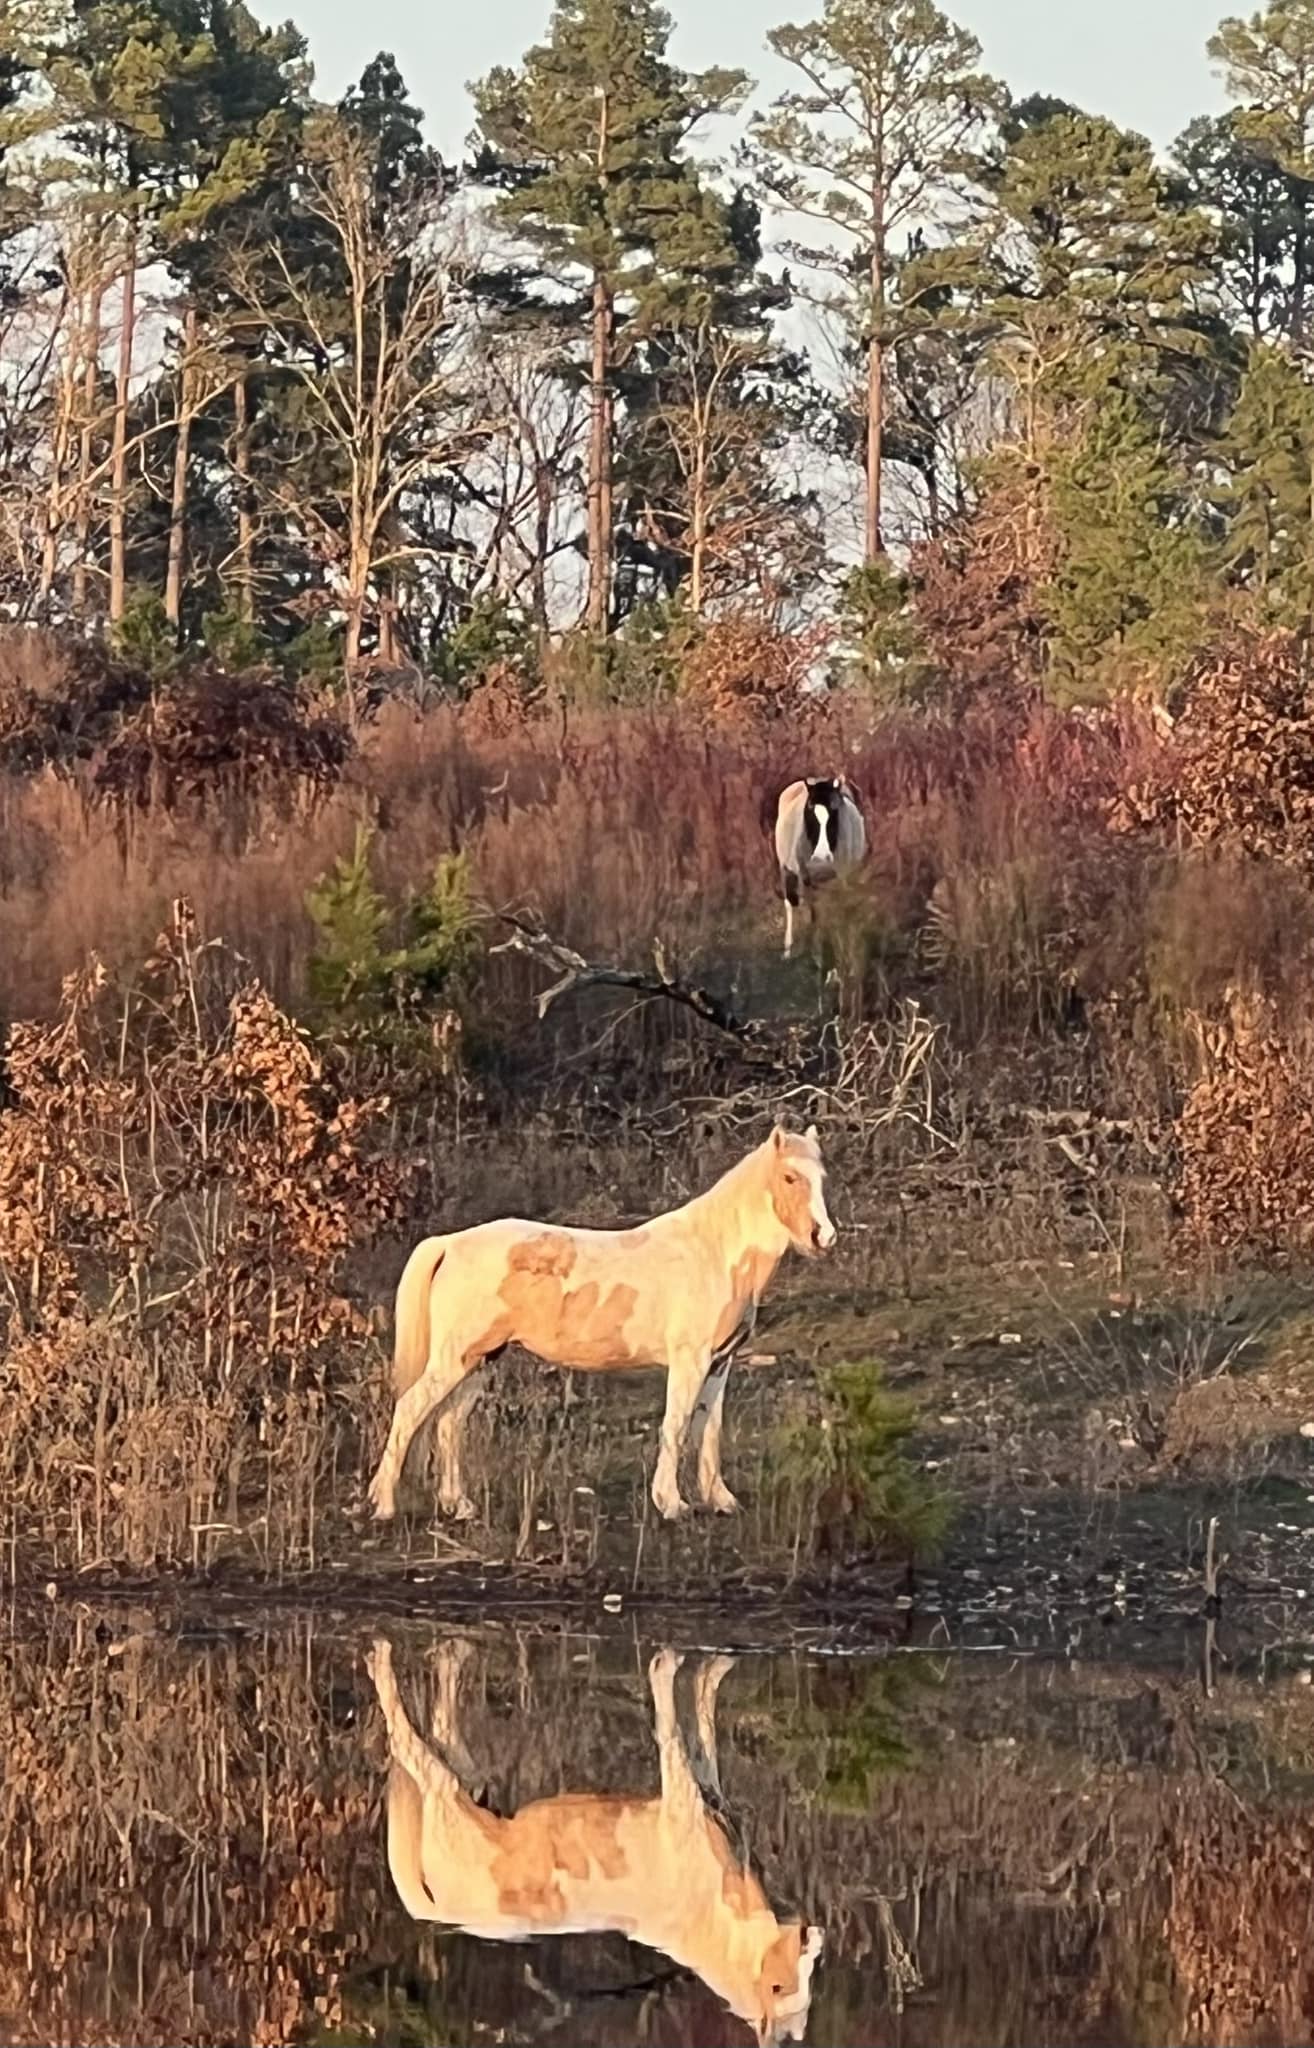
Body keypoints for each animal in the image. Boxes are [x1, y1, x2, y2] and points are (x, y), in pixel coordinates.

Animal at [366, 1123, 836, 1526]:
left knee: (449, 1423)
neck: (714, 1252)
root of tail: (449, 1243)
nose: (824, 1237)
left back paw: (458, 1506)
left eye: (822, 1177)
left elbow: (708, 1429)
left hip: (481, 1360)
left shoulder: (720, 1363)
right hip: (455, 1359)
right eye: (790, 1177)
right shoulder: (690, 1362)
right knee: (410, 1409)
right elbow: (676, 1425)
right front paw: (671, 1504)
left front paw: (720, 1500)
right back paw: (384, 1505)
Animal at [367, 1636, 824, 2048]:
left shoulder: (706, 1795)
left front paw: (711, 1672)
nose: (817, 1933)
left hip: (463, 1790)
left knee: (440, 1730)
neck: (721, 1937)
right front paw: (672, 1667)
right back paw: (381, 1661)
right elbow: (674, 1730)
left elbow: (702, 1740)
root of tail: (442, 1914)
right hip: (447, 1799)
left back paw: (449, 1657)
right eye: (795, 1978)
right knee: (407, 1742)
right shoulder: (682, 1800)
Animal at [771, 775, 867, 958]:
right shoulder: (804, 876)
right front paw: (816, 952)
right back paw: (788, 949)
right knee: (792, 904)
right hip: (787, 870)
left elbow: (842, 909)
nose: (820, 860)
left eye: (835, 810)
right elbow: (812, 912)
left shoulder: (843, 876)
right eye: (809, 810)